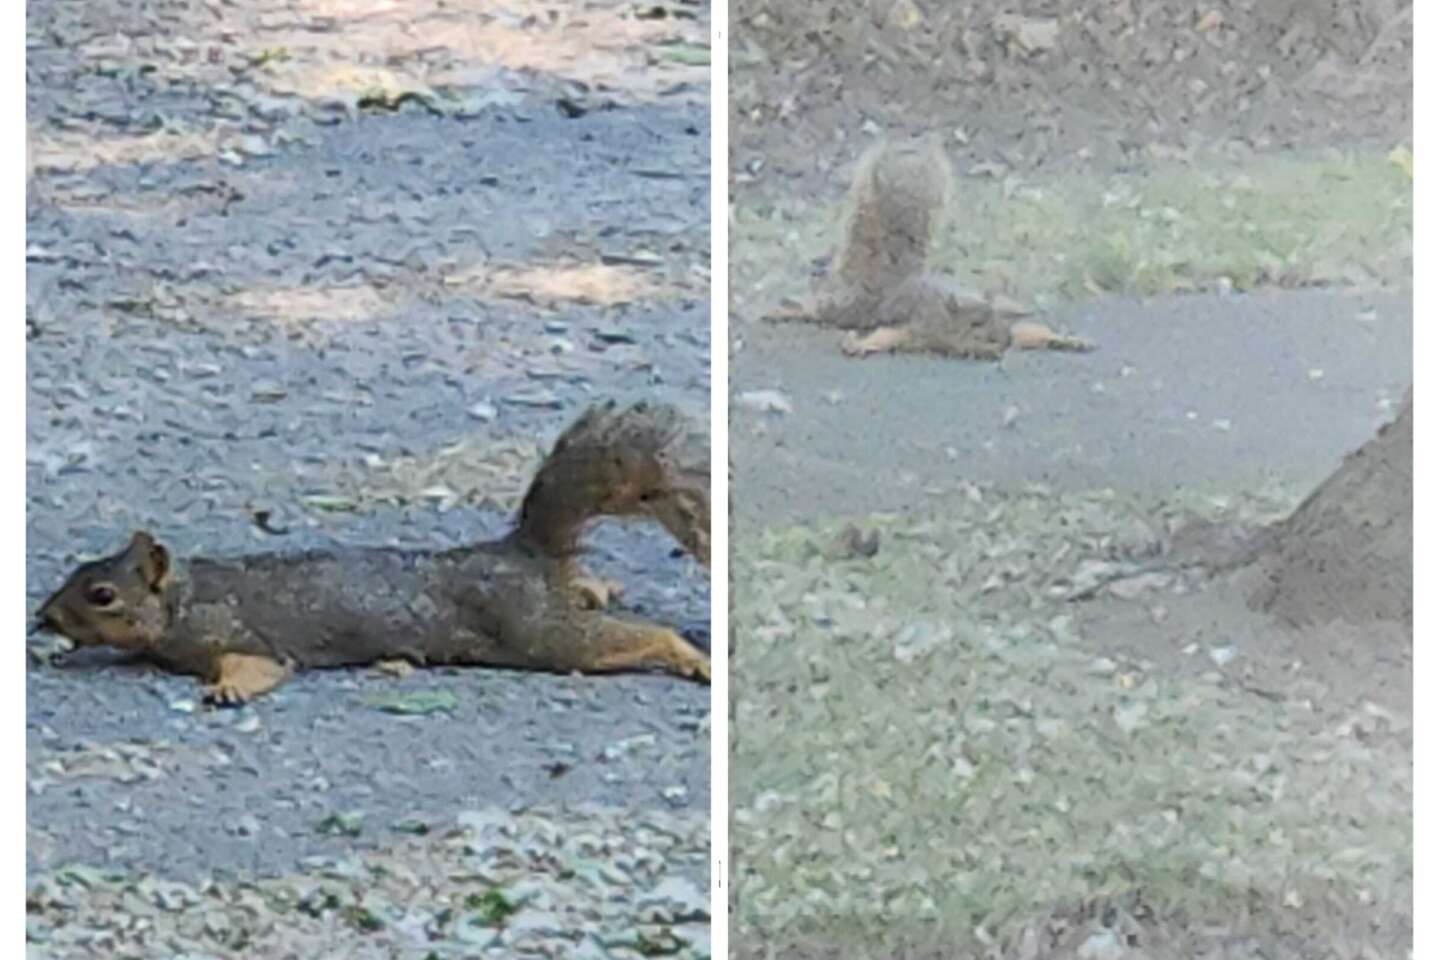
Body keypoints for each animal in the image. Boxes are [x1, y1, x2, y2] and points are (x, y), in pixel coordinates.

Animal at [30, 399, 711, 706]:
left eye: (102, 594)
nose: (42, 617)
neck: (183, 601)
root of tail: (526, 554)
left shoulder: (241, 634)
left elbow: (260, 666)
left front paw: (229, 689)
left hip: (540, 631)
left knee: (625, 639)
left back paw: (692, 658)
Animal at [766, 136, 1094, 359]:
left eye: (996, 321)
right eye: (975, 323)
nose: (1003, 343)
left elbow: (1027, 332)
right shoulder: (915, 328)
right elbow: (886, 336)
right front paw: (857, 344)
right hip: (846, 306)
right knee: (819, 309)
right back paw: (786, 310)